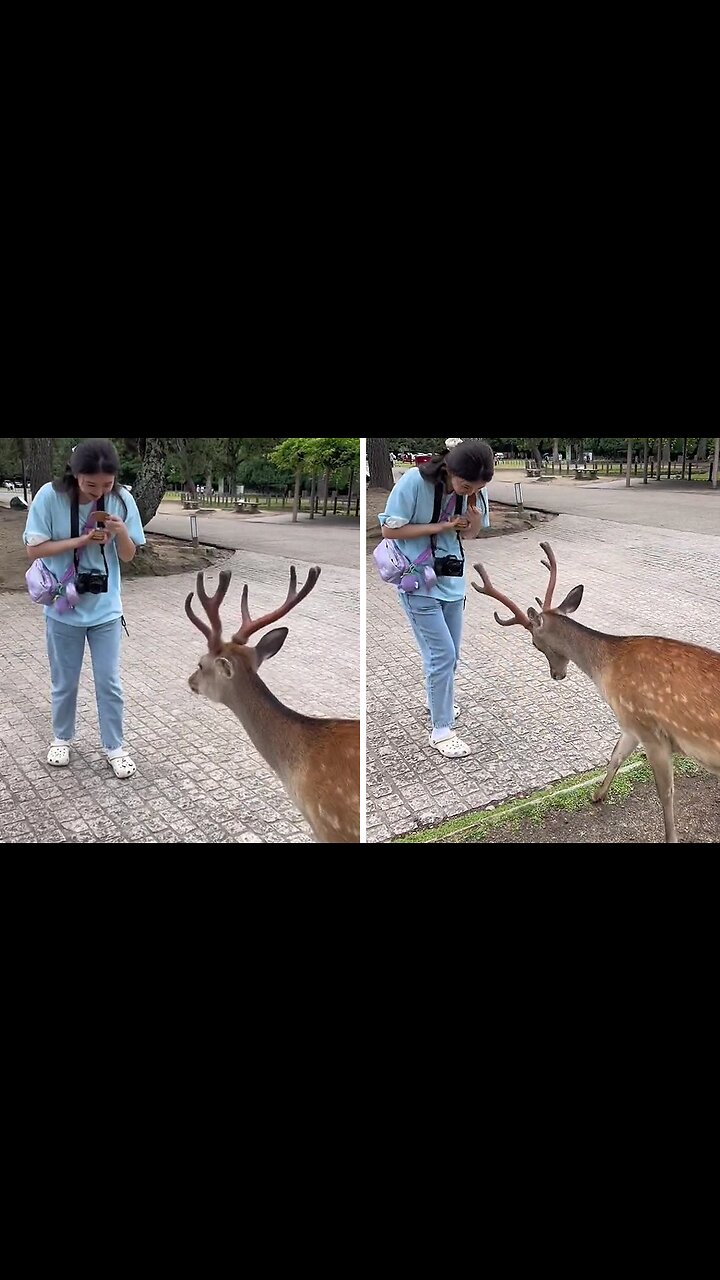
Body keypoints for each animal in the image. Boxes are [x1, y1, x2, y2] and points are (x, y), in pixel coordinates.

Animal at [472, 542, 720, 843]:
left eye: (534, 642)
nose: (556, 675)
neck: (607, 671)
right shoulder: (629, 725)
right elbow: (615, 757)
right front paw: (597, 796)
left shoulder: (649, 728)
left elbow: (666, 793)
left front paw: (671, 837)